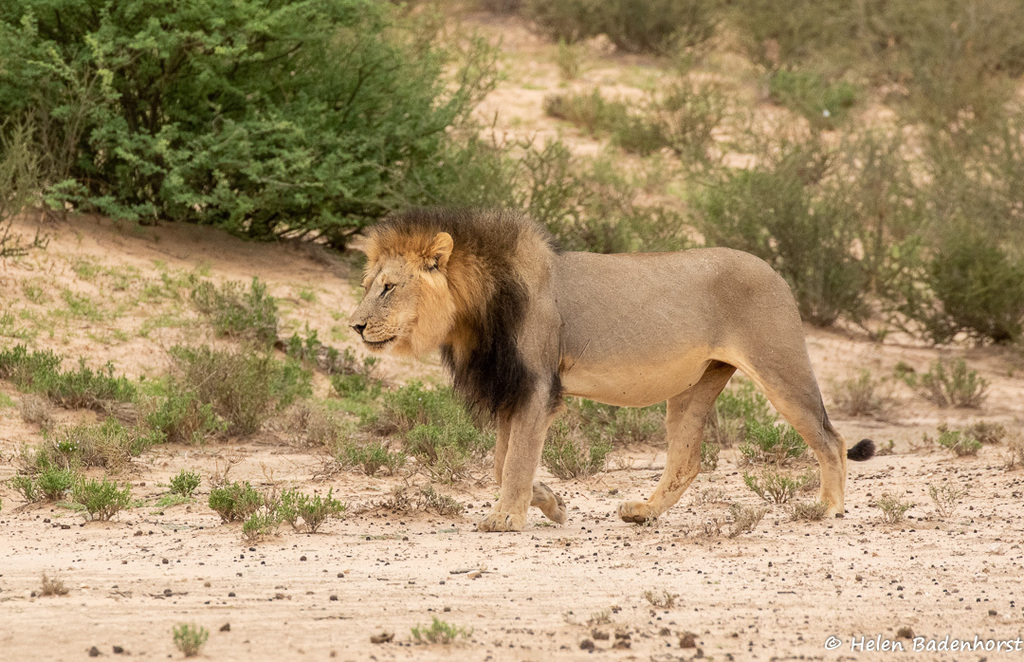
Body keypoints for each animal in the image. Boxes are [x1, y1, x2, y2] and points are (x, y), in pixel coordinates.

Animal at [350, 208, 875, 532]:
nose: (354, 325)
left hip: (780, 367)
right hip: (696, 385)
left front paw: (506, 518)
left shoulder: (537, 385)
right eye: (368, 285)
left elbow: (514, 461)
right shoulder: (512, 389)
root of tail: (775, 270)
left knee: (831, 439)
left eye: (389, 287)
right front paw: (551, 503)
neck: (471, 313)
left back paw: (828, 508)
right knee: (687, 460)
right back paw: (644, 511)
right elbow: (503, 462)